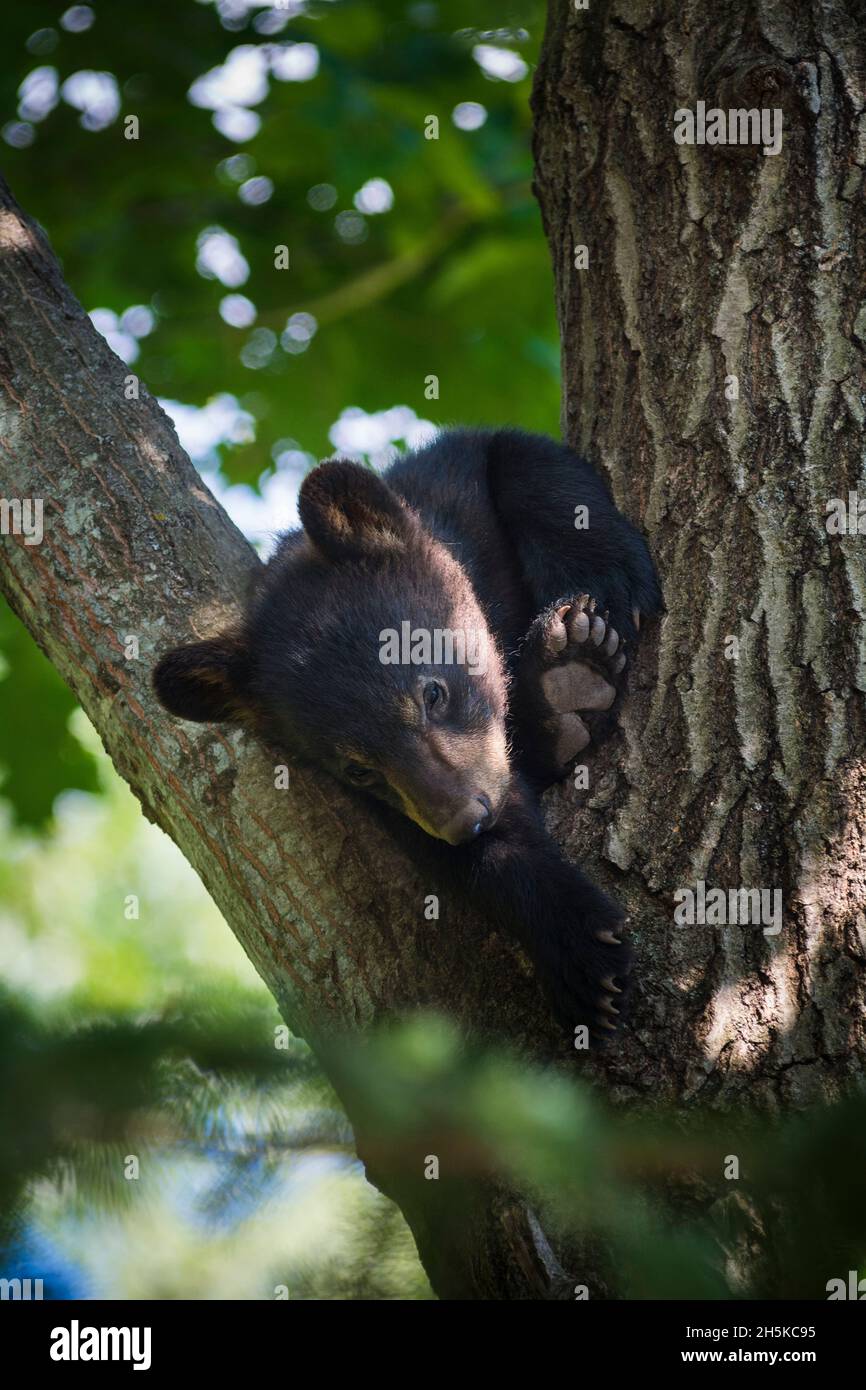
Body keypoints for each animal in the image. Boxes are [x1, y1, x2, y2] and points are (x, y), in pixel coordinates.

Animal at [153, 428, 661, 1040]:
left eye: (432, 693)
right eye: (358, 769)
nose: (466, 819)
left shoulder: (447, 485)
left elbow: (517, 455)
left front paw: (605, 592)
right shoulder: (396, 805)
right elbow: (471, 856)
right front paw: (580, 954)